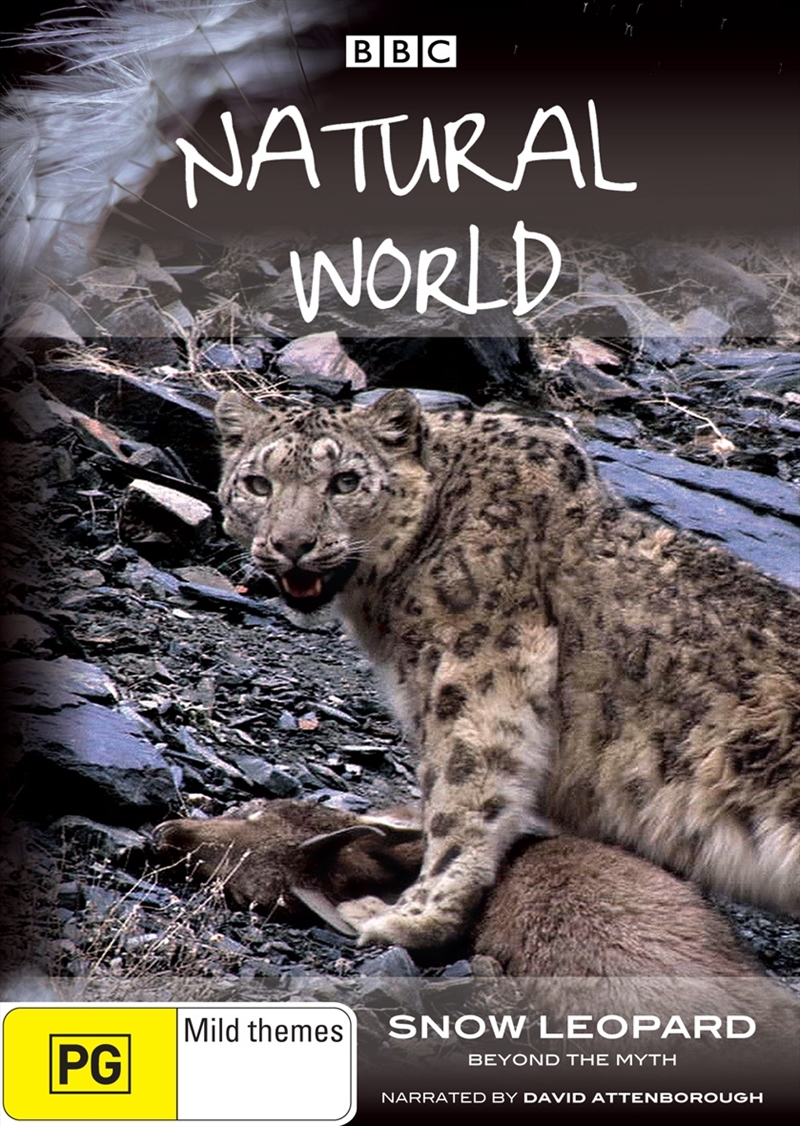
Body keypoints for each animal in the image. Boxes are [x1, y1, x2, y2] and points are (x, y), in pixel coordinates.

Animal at [215, 386, 800, 950]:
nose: (292, 544)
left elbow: (458, 792)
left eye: (346, 481)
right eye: (258, 483)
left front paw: (411, 917)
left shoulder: (477, 667)